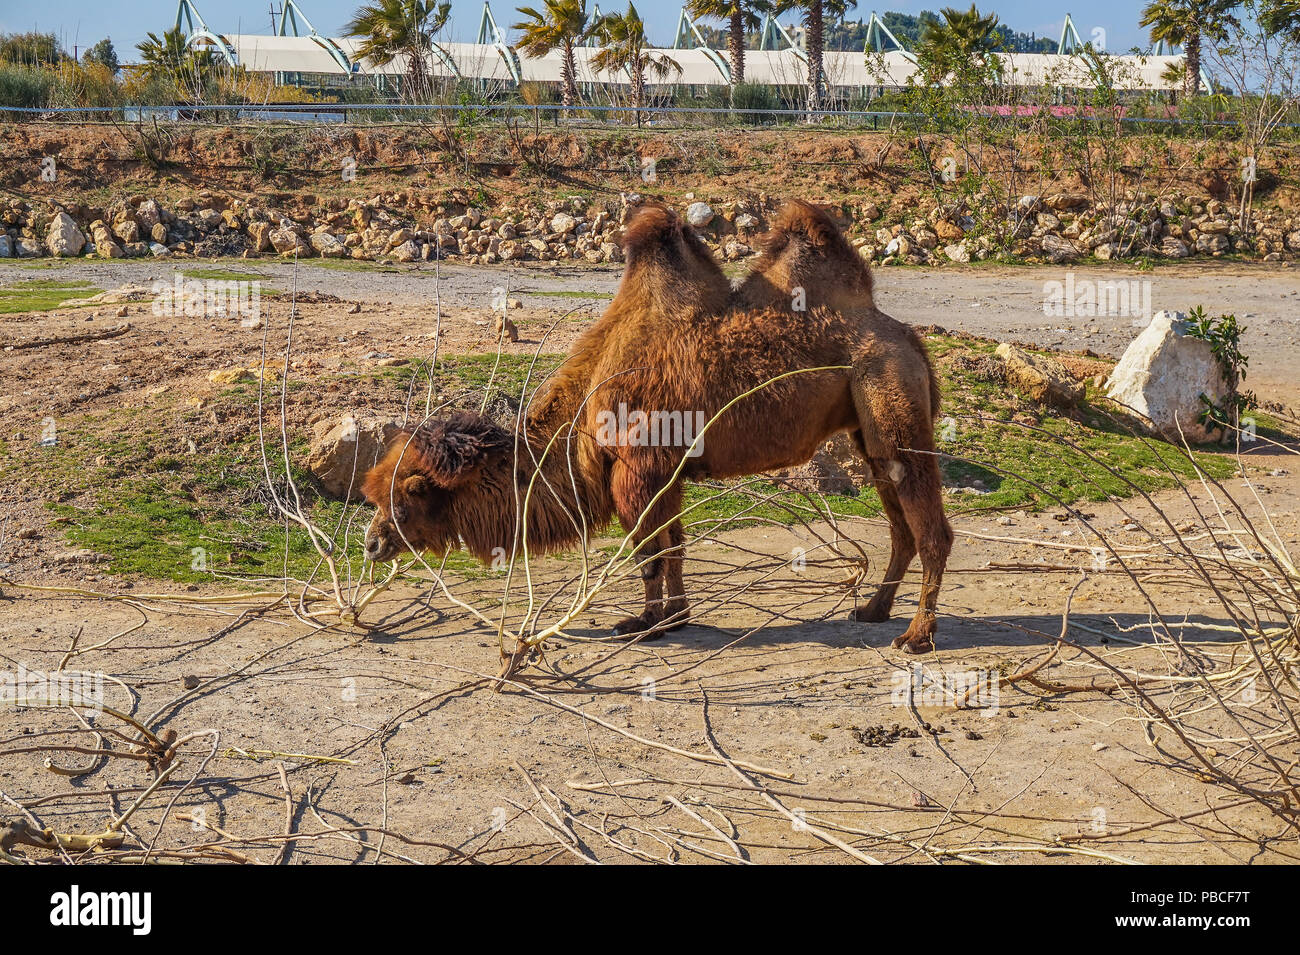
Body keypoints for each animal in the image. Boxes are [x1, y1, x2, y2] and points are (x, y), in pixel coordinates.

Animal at [362, 200, 953, 653]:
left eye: (408, 496)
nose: (372, 543)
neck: (582, 415)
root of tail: (907, 338)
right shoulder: (664, 471)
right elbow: (674, 546)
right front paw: (674, 617)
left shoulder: (636, 469)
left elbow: (649, 553)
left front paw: (645, 624)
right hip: (868, 432)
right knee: (900, 525)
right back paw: (873, 609)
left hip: (890, 399)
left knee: (931, 529)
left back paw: (917, 636)